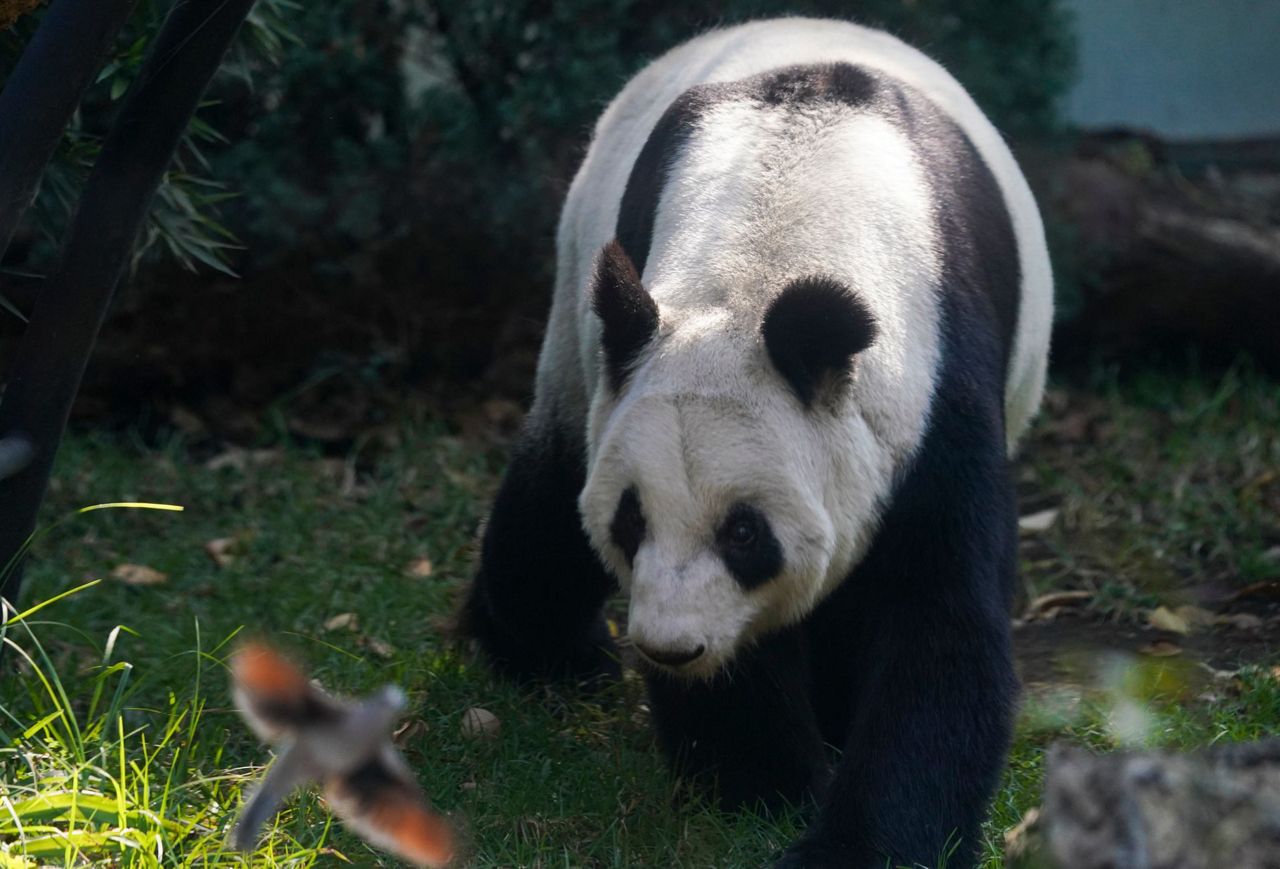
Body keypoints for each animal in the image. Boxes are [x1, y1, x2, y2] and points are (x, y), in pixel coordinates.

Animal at [459, 17, 1052, 869]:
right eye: (631, 520)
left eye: (745, 533)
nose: (669, 648)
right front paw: (763, 784)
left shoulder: (940, 387)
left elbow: (937, 621)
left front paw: (856, 840)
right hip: (581, 326)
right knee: (549, 490)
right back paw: (543, 650)